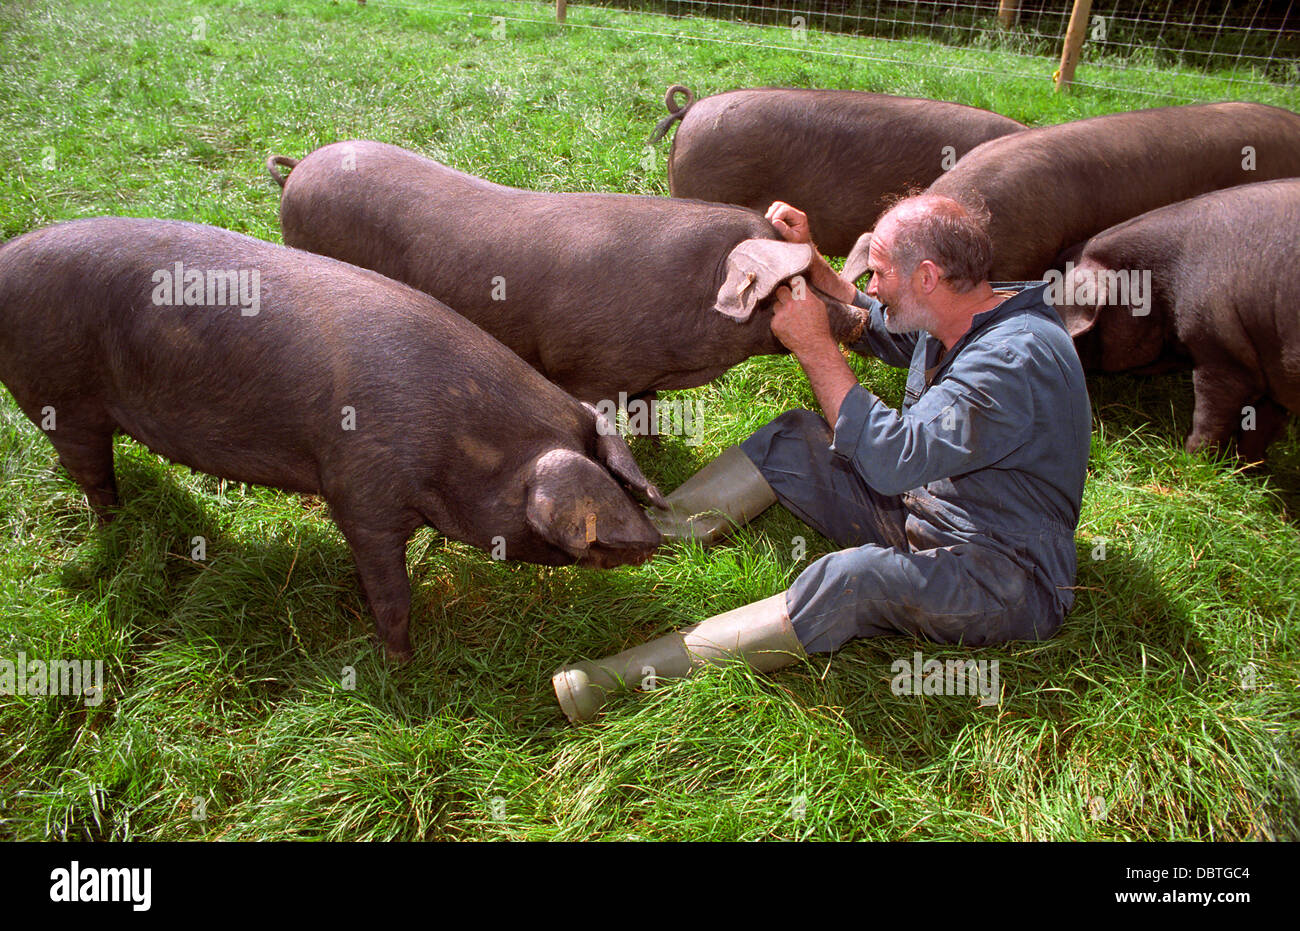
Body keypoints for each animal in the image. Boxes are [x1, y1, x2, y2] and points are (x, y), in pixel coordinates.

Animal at [0, 217, 666, 660]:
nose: (653, 542)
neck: (462, 442)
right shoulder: (361, 486)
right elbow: (391, 591)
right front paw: (399, 665)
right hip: (55, 394)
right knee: (89, 469)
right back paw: (114, 525)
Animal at [1049, 179, 1300, 461]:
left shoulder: (1222, 356)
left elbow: (1210, 418)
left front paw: (1191, 458)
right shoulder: (1270, 376)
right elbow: (1261, 428)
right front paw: (1248, 465)